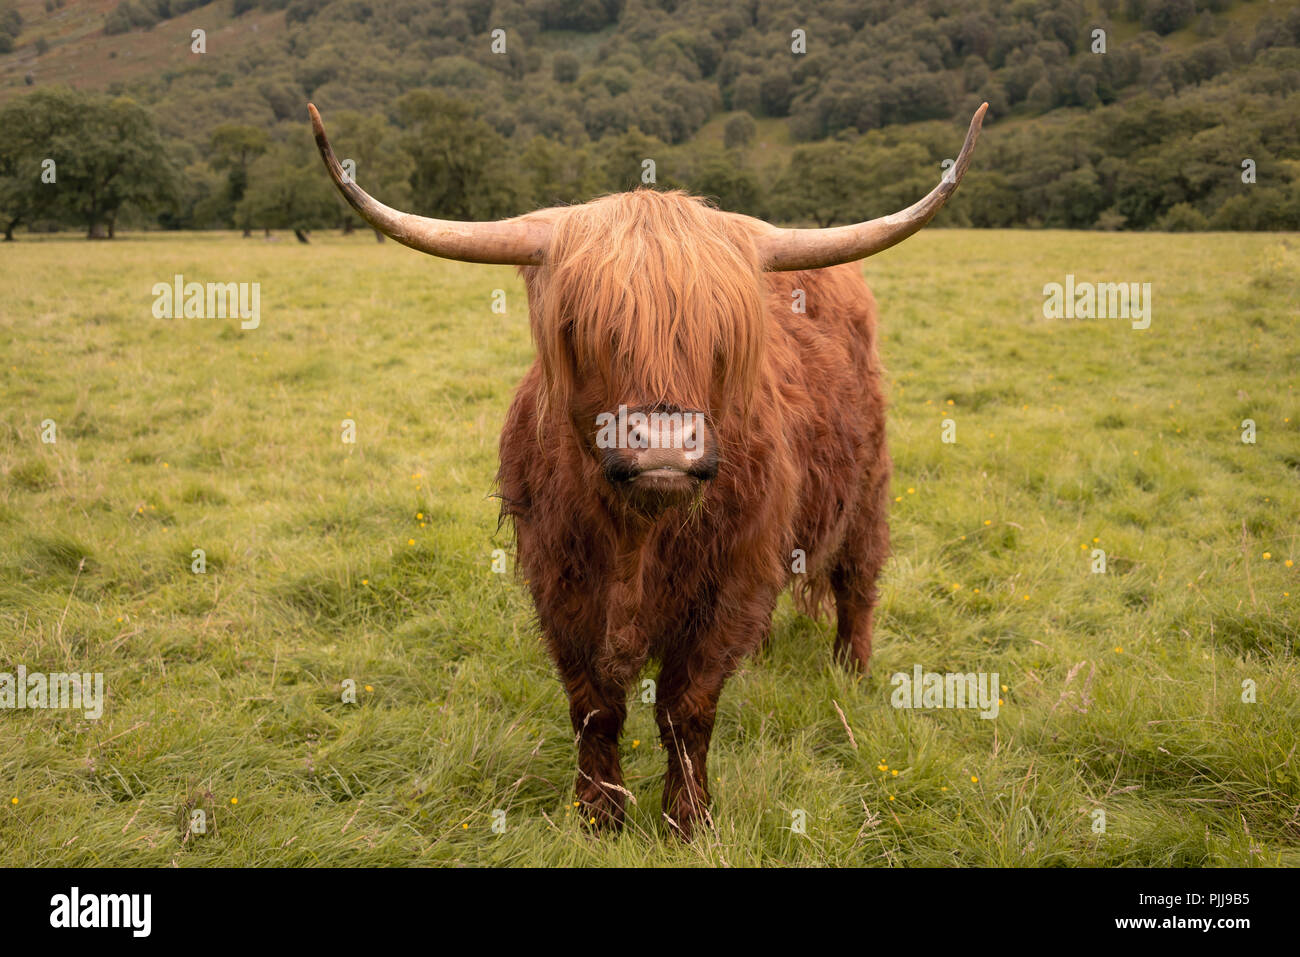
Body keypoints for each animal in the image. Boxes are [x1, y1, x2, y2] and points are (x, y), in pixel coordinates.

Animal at [309, 102, 986, 839]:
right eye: (587, 327)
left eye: (721, 334)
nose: (665, 445)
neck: (635, 536)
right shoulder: (559, 586)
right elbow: (594, 707)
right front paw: (598, 813)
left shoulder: (730, 583)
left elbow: (687, 709)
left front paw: (687, 820)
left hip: (867, 492)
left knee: (859, 582)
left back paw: (851, 672)